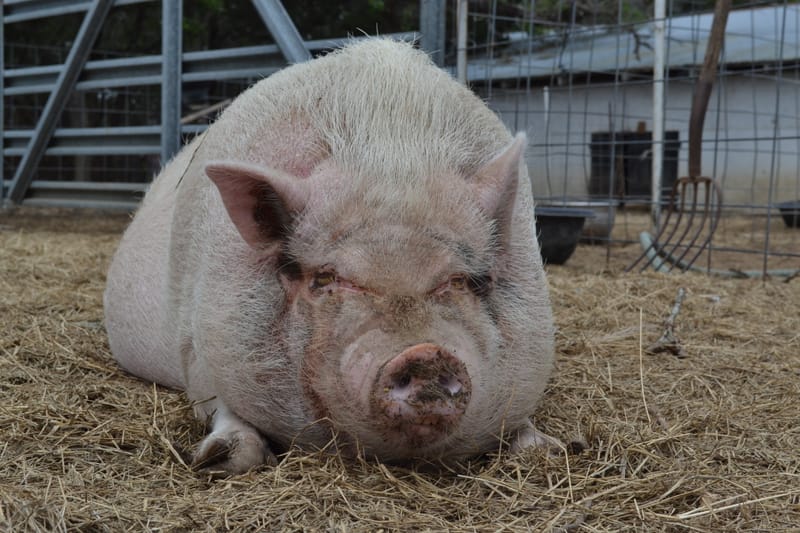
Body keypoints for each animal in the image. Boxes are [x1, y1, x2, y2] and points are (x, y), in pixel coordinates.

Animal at [104, 38, 558, 474]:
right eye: (326, 279)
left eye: (459, 281)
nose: (426, 354)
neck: (393, 154)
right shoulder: (197, 349)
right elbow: (224, 410)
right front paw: (216, 458)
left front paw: (549, 448)